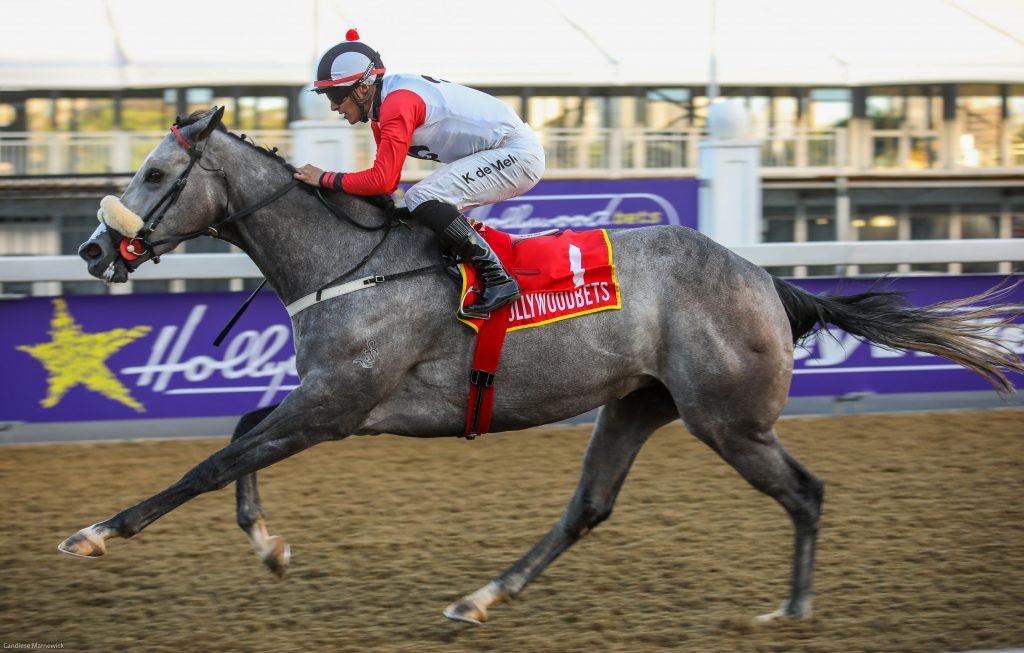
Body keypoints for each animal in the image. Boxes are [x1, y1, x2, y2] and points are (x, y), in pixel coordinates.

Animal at [66, 106, 1023, 625]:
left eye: (155, 169)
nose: (91, 249)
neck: (347, 259)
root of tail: (766, 280)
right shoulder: (333, 399)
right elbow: (237, 427)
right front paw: (267, 544)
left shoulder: (340, 403)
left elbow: (211, 458)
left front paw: (98, 531)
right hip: (636, 403)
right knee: (587, 507)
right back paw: (482, 595)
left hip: (729, 419)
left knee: (806, 492)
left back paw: (791, 610)